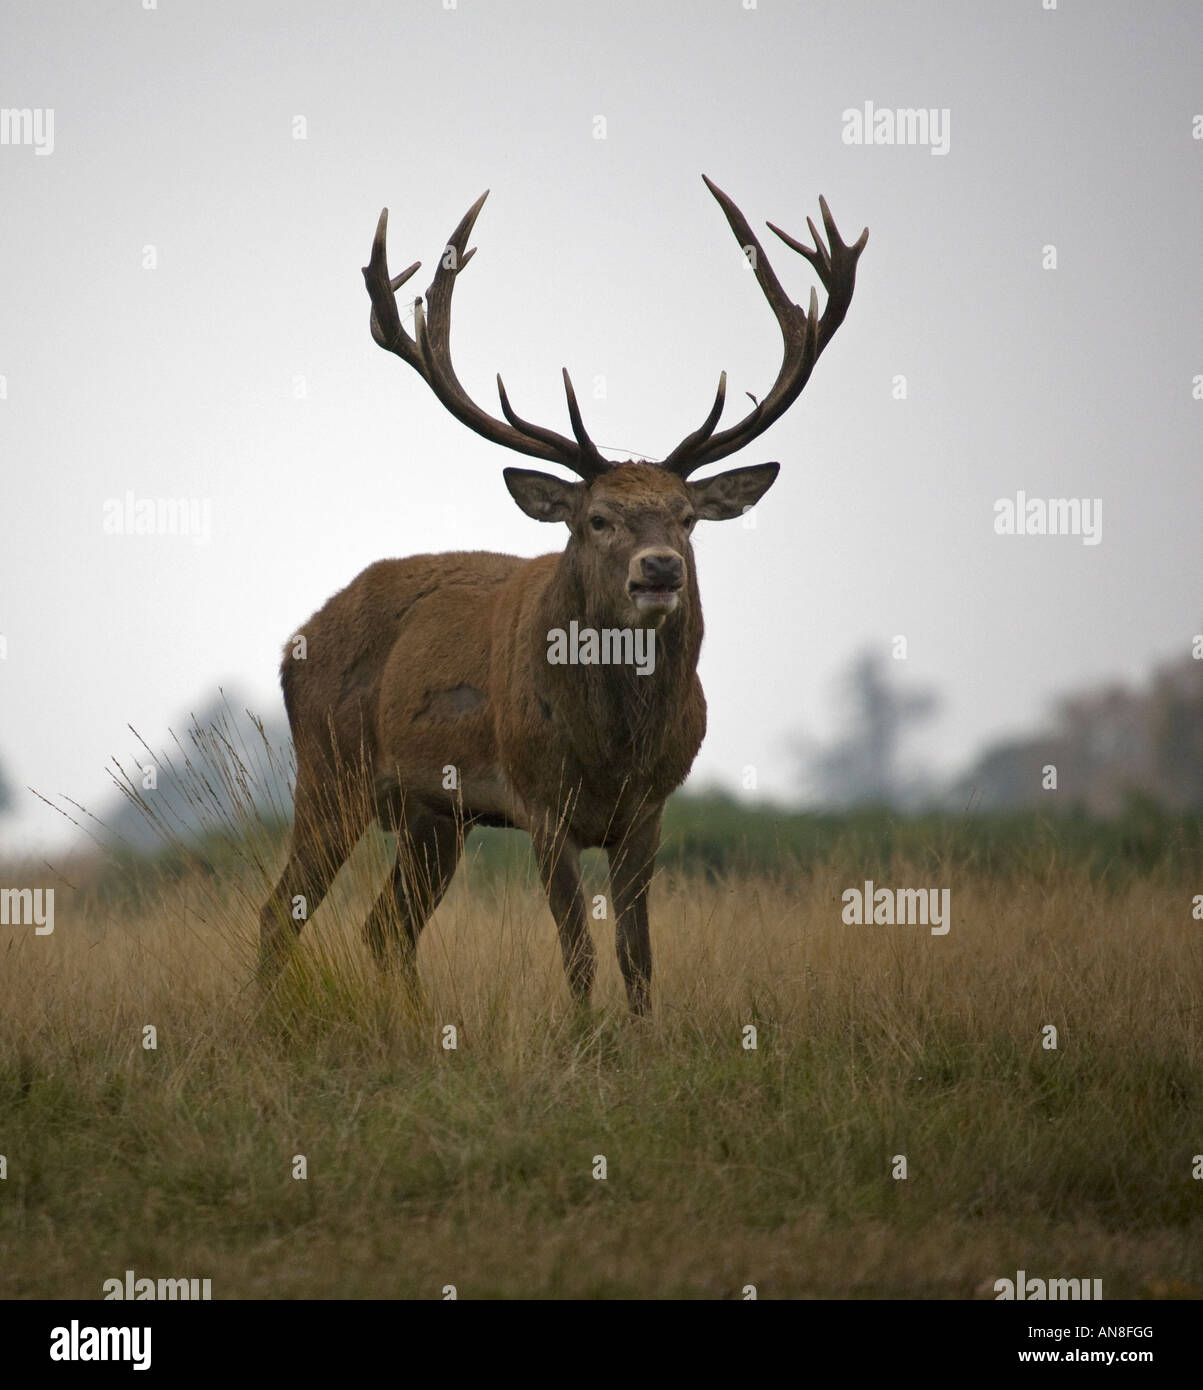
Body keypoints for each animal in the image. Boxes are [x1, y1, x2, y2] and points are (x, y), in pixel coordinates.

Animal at [258, 176, 866, 1014]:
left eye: (686, 517)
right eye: (596, 518)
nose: (659, 569)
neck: (612, 747)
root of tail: (296, 641)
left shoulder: (650, 808)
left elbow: (637, 957)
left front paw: (641, 1038)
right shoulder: (540, 803)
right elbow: (577, 955)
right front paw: (582, 1036)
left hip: (433, 814)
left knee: (383, 929)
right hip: (329, 770)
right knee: (276, 915)